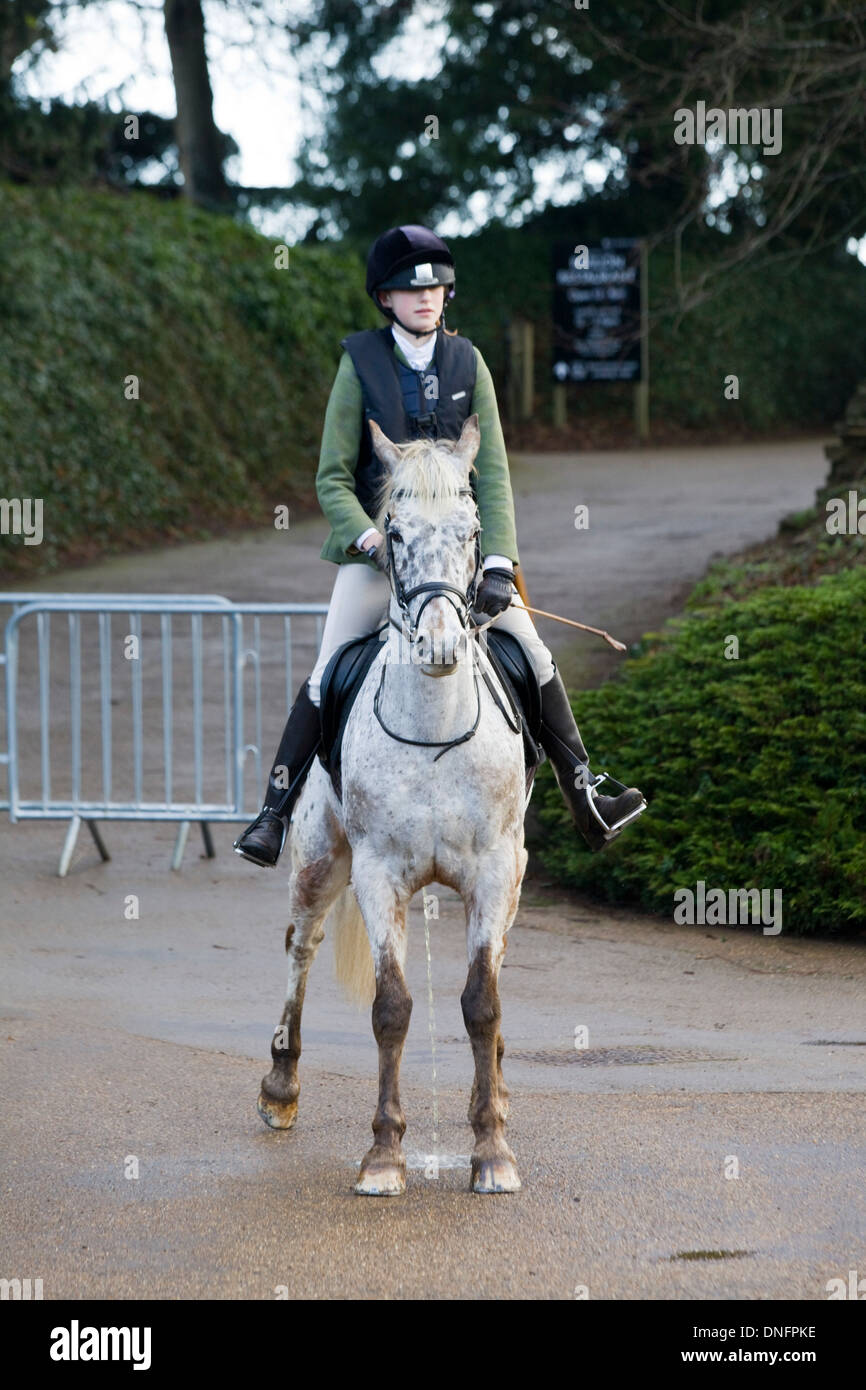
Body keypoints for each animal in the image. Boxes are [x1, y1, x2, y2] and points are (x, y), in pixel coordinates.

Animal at [257, 414, 528, 1195]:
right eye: (394, 532)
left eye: (474, 530)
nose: (439, 644)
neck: (434, 724)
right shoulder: (379, 875)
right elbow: (392, 1008)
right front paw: (383, 1154)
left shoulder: (494, 872)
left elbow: (481, 1002)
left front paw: (491, 1148)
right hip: (319, 861)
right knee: (301, 945)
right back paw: (280, 1087)